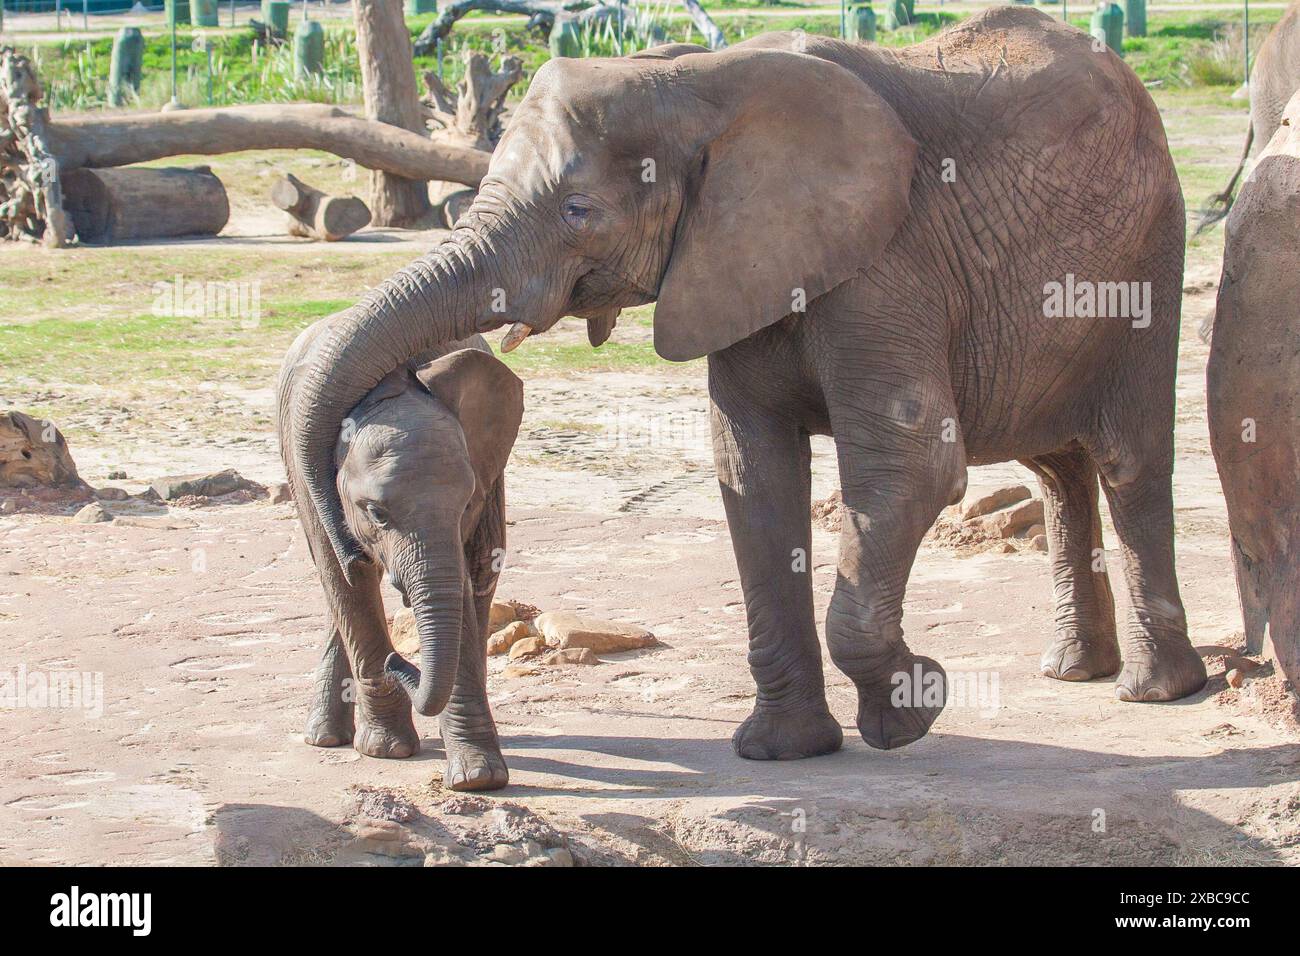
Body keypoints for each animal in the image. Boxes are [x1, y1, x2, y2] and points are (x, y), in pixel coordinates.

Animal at [277, 320, 523, 790]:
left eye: (466, 504)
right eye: (376, 512)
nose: (400, 661)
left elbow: (462, 583)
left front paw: (477, 777)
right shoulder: (307, 475)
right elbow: (344, 578)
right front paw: (385, 750)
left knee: (483, 570)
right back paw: (325, 737)